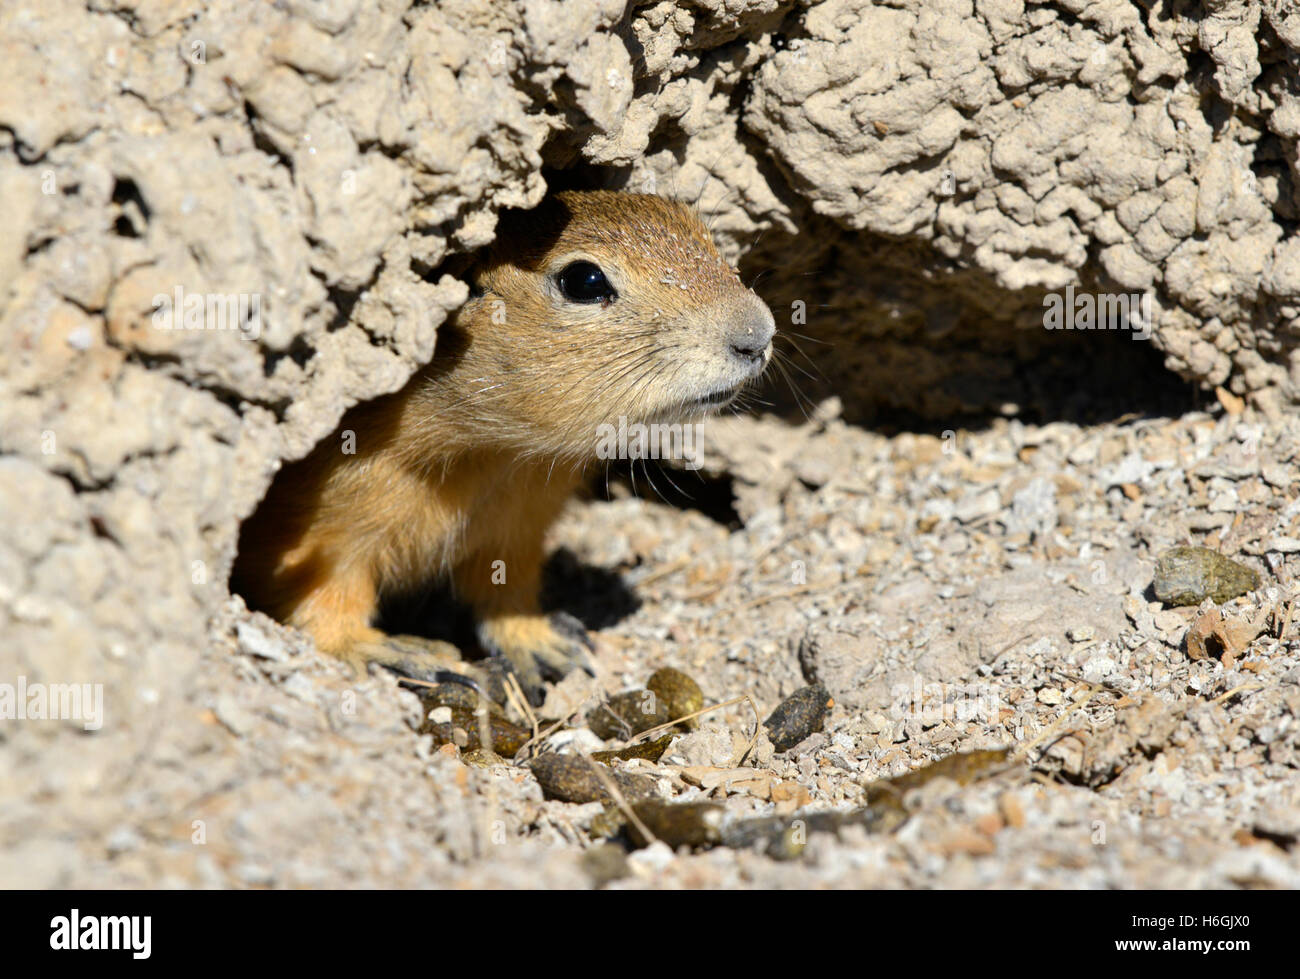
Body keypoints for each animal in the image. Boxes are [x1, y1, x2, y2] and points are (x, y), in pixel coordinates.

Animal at [232, 191, 775, 703]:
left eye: (699, 228)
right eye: (584, 281)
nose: (757, 334)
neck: (497, 456)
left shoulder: (518, 527)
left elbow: (504, 587)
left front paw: (540, 642)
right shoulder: (320, 530)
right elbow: (322, 598)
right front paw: (400, 653)